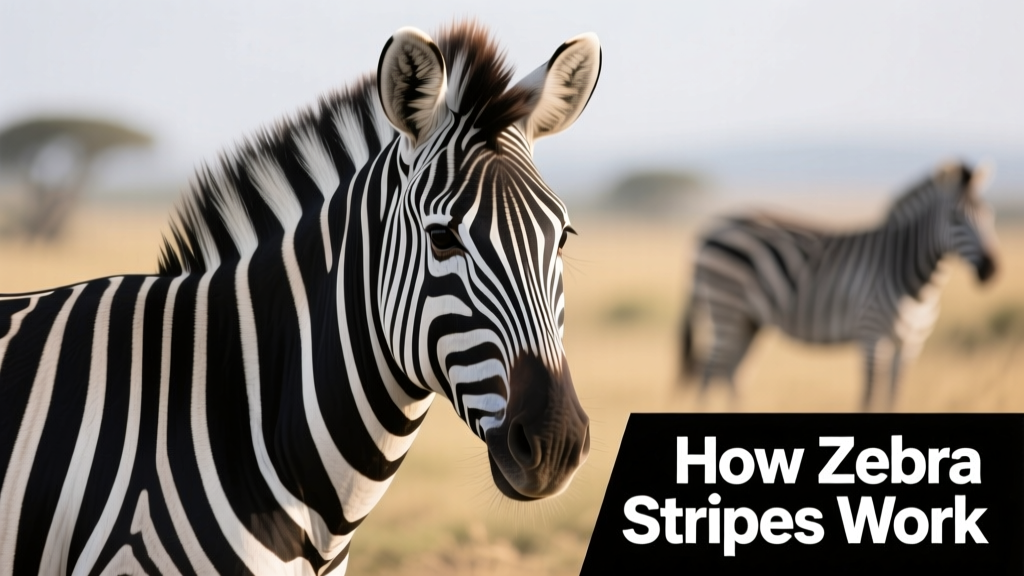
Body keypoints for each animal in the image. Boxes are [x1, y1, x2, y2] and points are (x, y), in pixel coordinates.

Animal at [681, 161, 999, 409]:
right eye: (955, 217)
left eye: (990, 215)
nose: (991, 269)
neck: (916, 284)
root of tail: (711, 228)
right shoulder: (872, 335)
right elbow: (869, 398)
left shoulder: (910, 344)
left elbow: (894, 398)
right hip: (725, 306)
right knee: (708, 372)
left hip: (749, 319)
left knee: (732, 373)